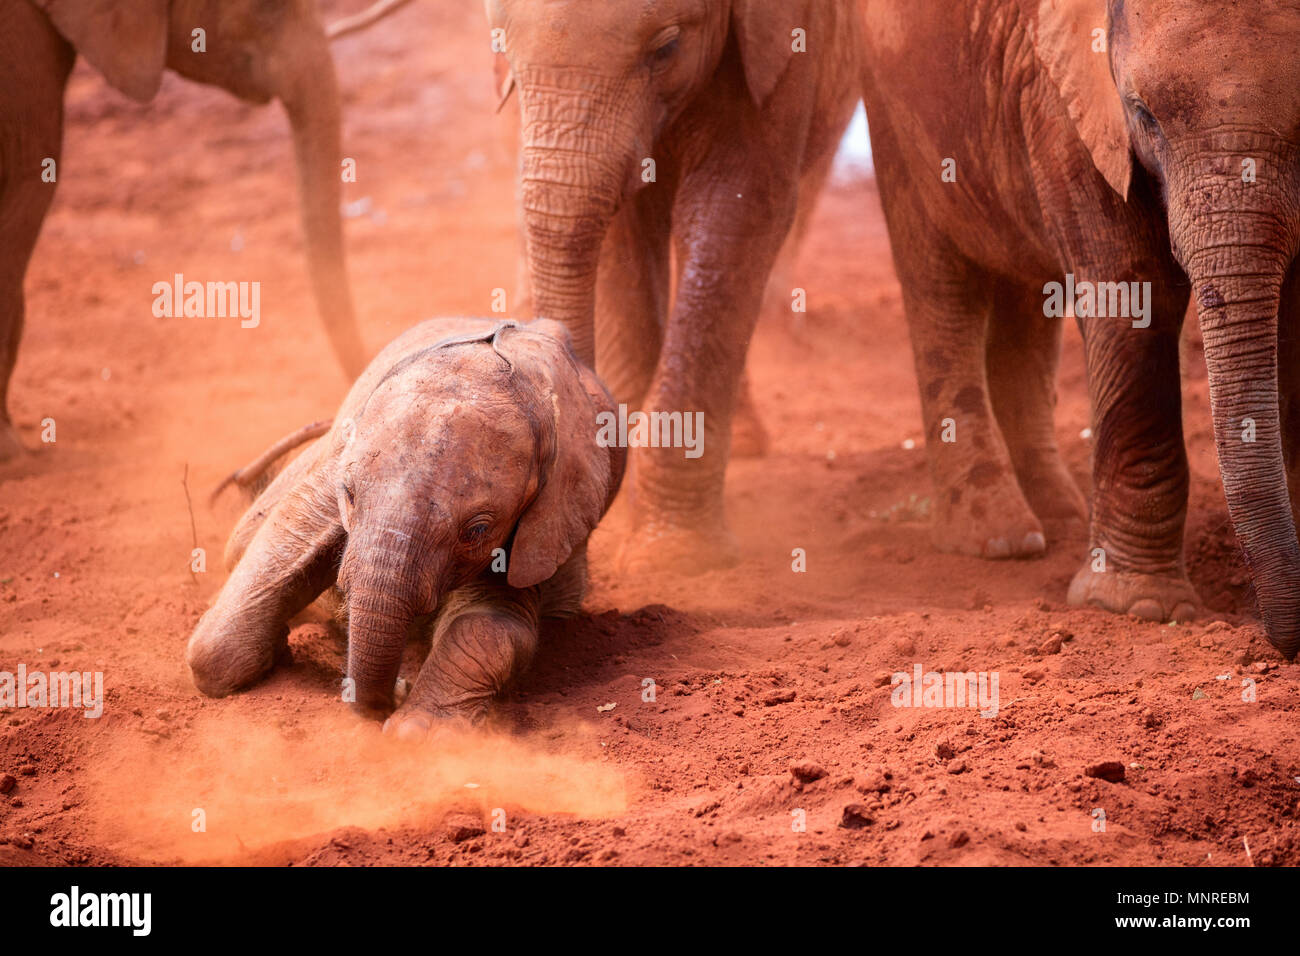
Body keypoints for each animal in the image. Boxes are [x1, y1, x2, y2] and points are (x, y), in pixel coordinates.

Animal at [185, 316, 626, 736]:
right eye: (350, 494)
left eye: (477, 531)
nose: (401, 686)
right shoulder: (341, 455)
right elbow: (292, 533)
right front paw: (265, 651)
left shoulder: (544, 520)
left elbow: (497, 623)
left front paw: (421, 729)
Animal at [860, 0, 1300, 657]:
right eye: (1143, 115)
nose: (1280, 640)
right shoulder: (1066, 103)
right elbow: (1134, 287)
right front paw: (1134, 608)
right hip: (895, 107)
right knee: (941, 283)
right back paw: (1000, 540)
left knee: (1023, 298)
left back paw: (1060, 520)